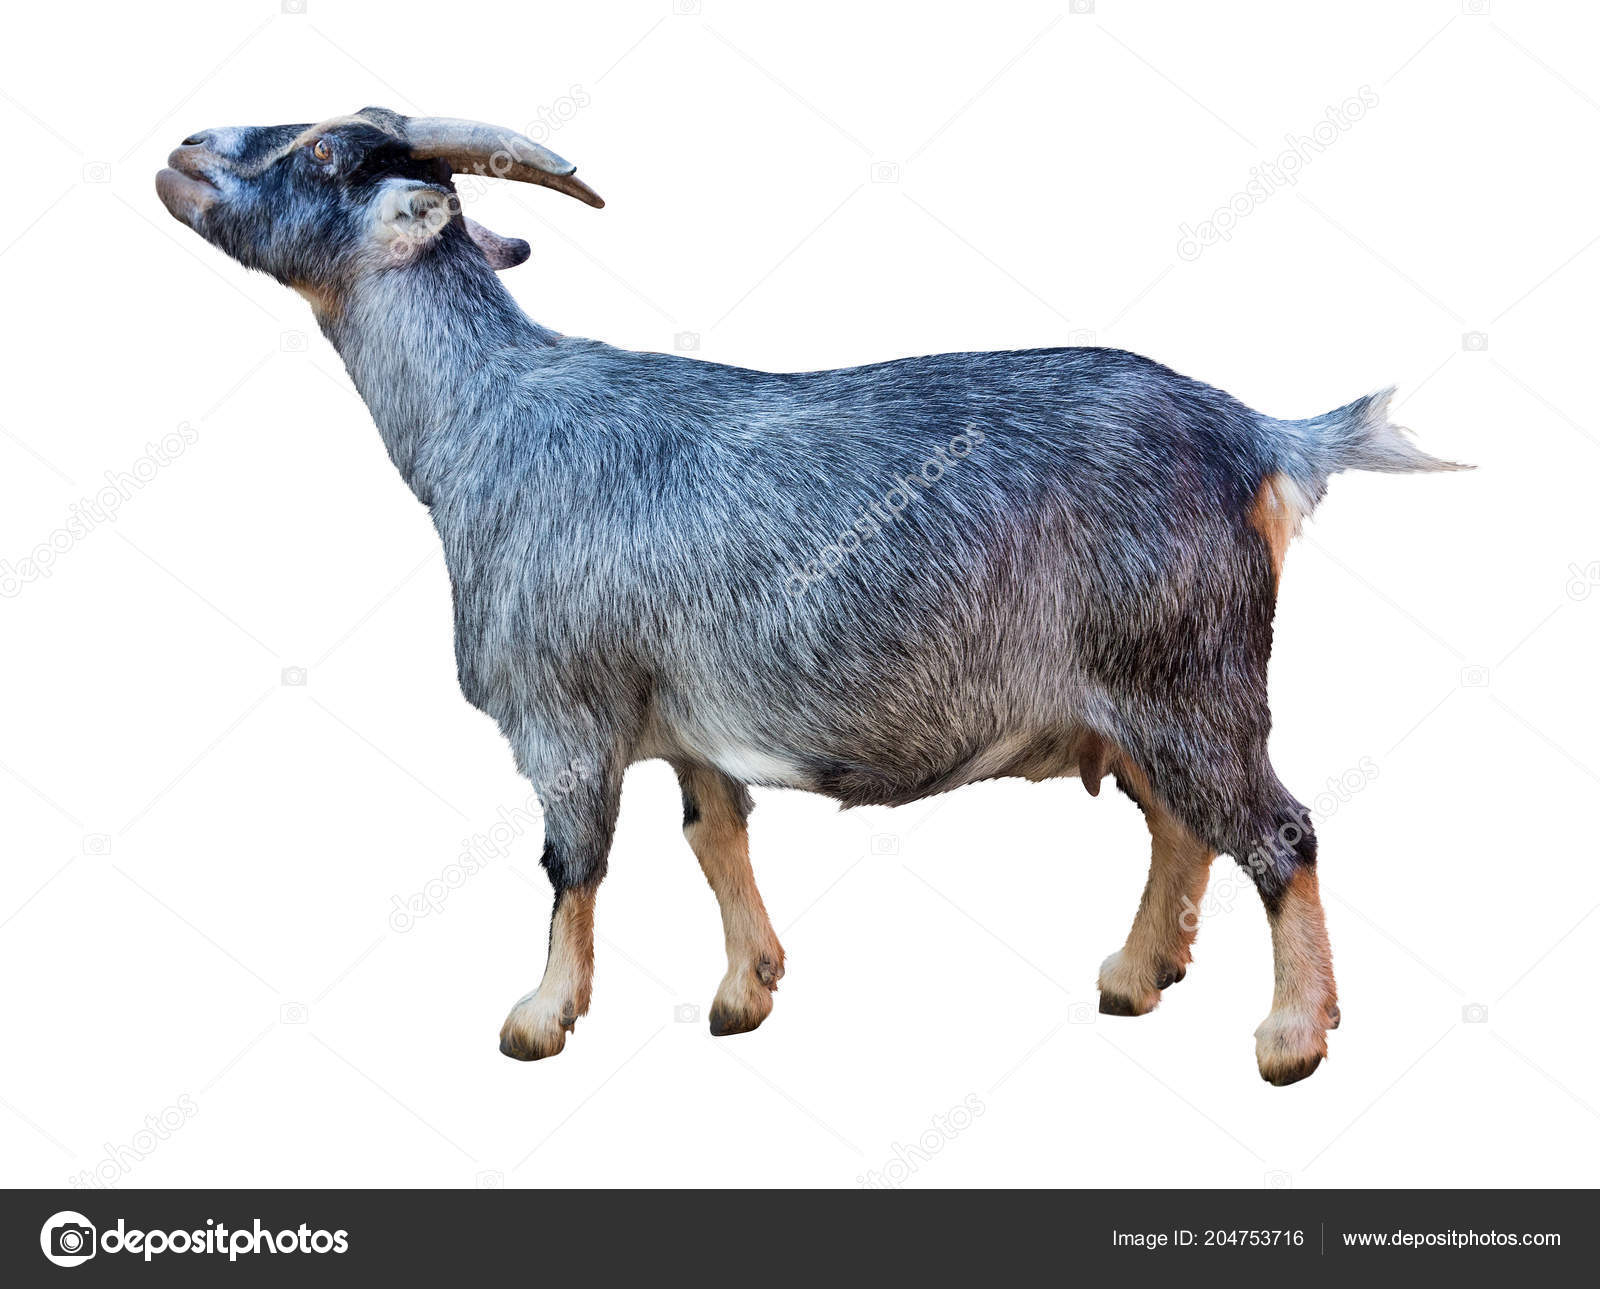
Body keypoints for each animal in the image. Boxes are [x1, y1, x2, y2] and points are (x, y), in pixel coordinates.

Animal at [157, 107, 1461, 1085]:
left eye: (326, 154)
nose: (183, 151)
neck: (486, 422)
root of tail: (1263, 438)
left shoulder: (560, 710)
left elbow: (572, 861)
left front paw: (539, 1016)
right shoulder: (684, 720)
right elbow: (713, 834)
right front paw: (745, 990)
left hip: (1186, 672)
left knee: (1278, 828)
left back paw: (1290, 1037)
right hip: (1134, 697)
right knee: (1183, 825)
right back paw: (1136, 976)